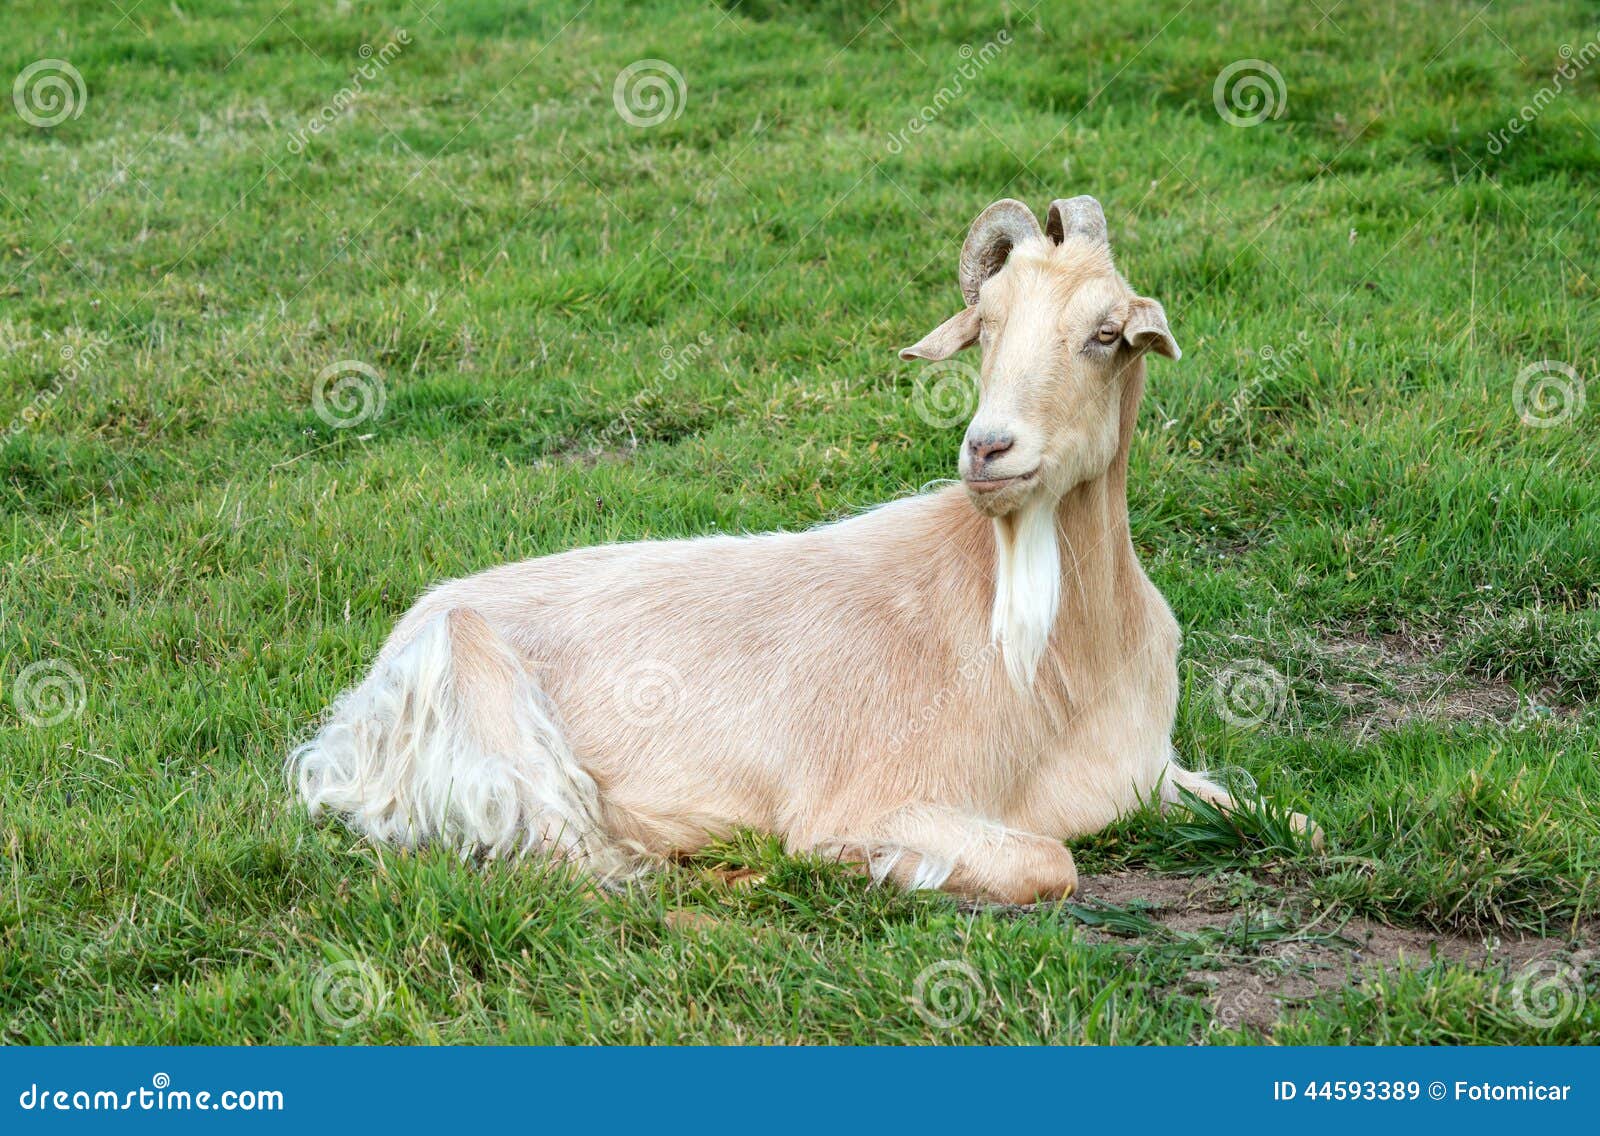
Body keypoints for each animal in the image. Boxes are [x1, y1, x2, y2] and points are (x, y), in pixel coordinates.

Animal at [288, 196, 1317, 904]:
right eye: (986, 326)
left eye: (1107, 334)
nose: (989, 449)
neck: (1062, 658)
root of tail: (360, 706)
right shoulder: (875, 798)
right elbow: (1049, 862)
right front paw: (877, 869)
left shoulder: (1152, 774)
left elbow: (1297, 822)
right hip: (488, 696)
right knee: (575, 864)